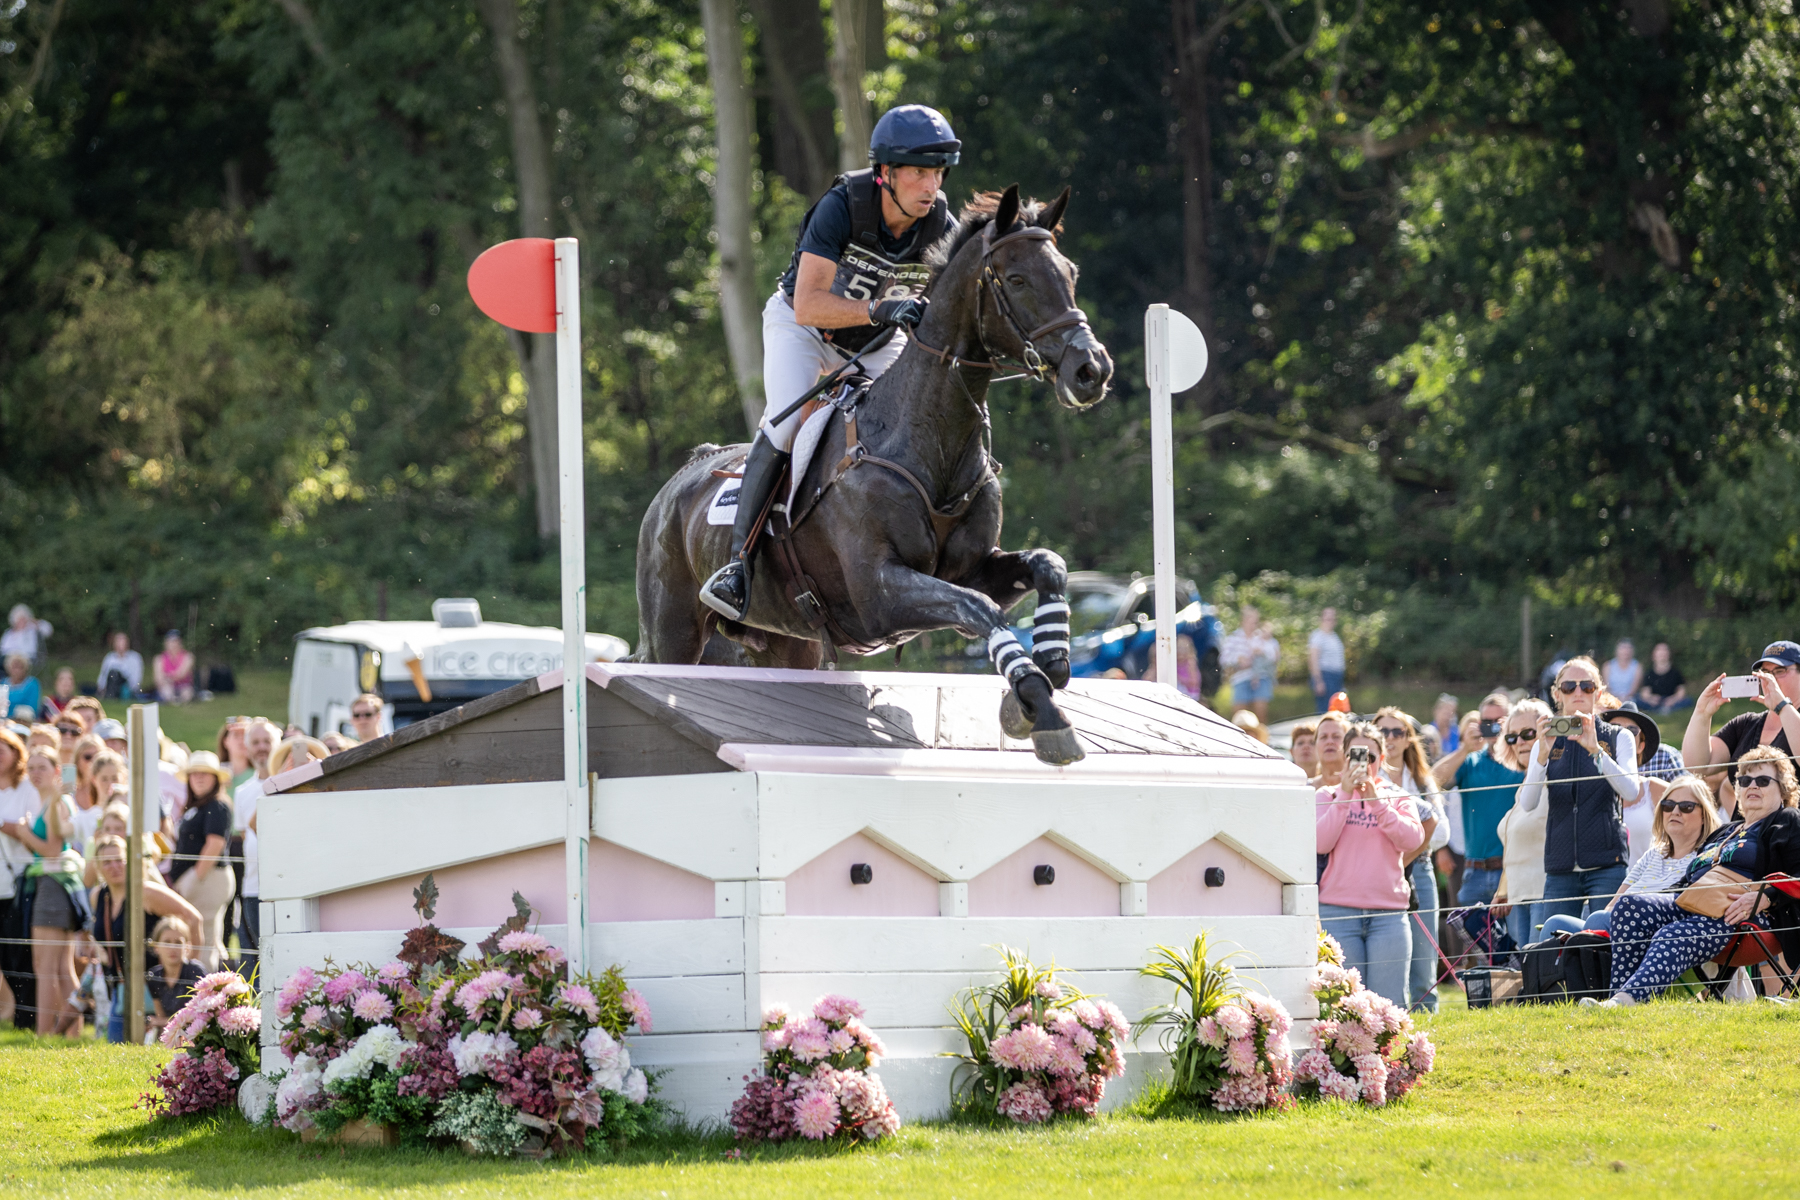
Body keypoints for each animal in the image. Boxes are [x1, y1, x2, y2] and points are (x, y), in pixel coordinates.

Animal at [633, 184, 1115, 764]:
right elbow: (976, 608)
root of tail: (683, 475)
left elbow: (1046, 566)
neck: (927, 441)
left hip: (786, 643)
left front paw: (1051, 664)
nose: (1091, 370)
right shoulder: (879, 594)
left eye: (1070, 272)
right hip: (674, 633)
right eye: (1017, 279)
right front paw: (1040, 711)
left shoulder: (973, 570)